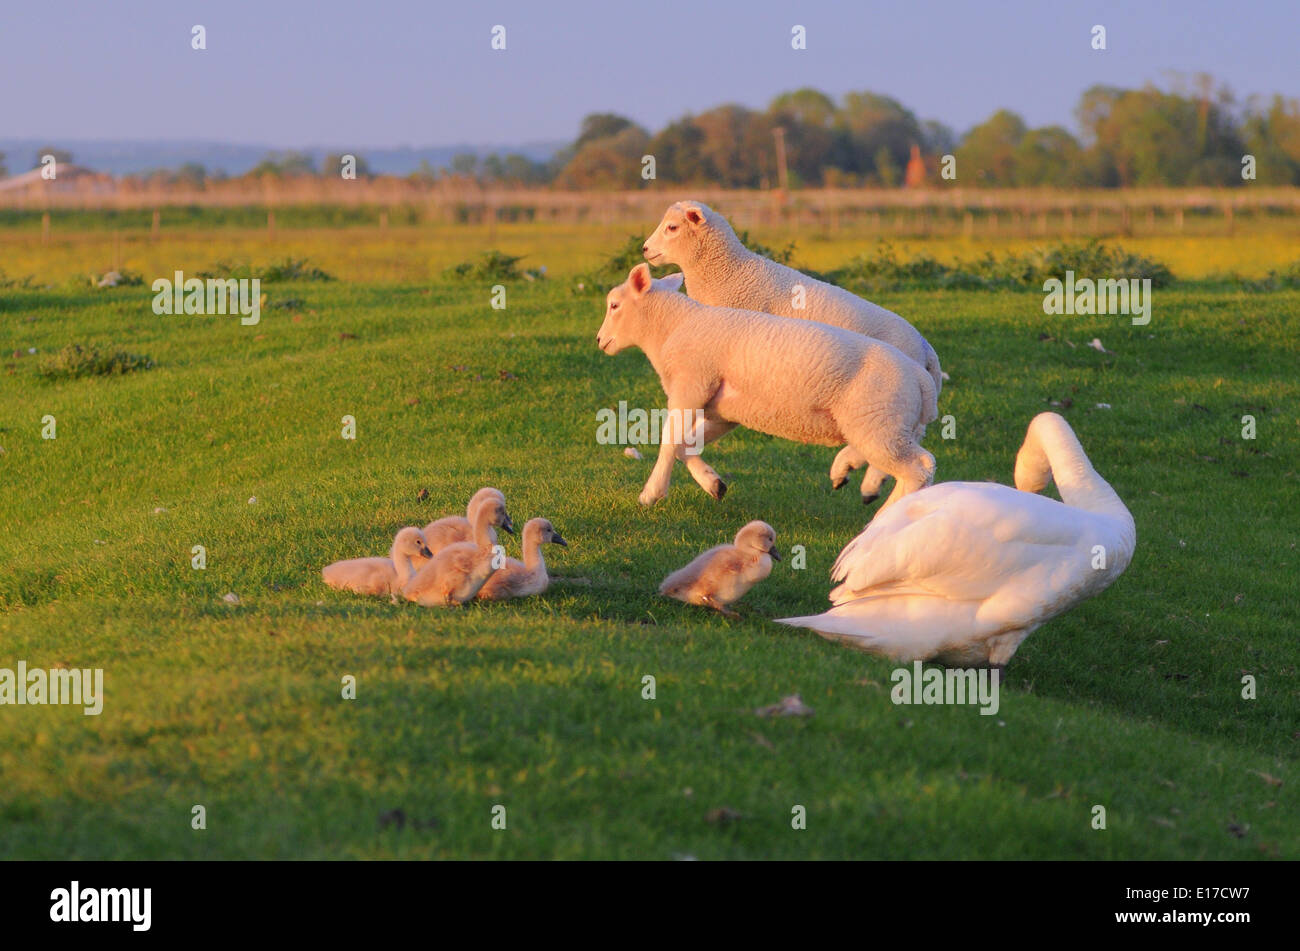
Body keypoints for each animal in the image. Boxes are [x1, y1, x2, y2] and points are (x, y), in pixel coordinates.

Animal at [596, 263, 937, 508]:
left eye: (614, 306)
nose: (599, 340)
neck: (671, 327)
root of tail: (920, 374)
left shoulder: (690, 385)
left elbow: (669, 440)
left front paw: (651, 493)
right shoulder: (722, 409)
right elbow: (685, 445)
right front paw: (714, 484)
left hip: (877, 422)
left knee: (917, 468)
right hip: (885, 423)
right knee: (918, 462)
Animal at [643, 199, 942, 503]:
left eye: (672, 227)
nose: (644, 249)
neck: (729, 273)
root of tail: (925, 349)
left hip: (878, 399)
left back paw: (859, 475)